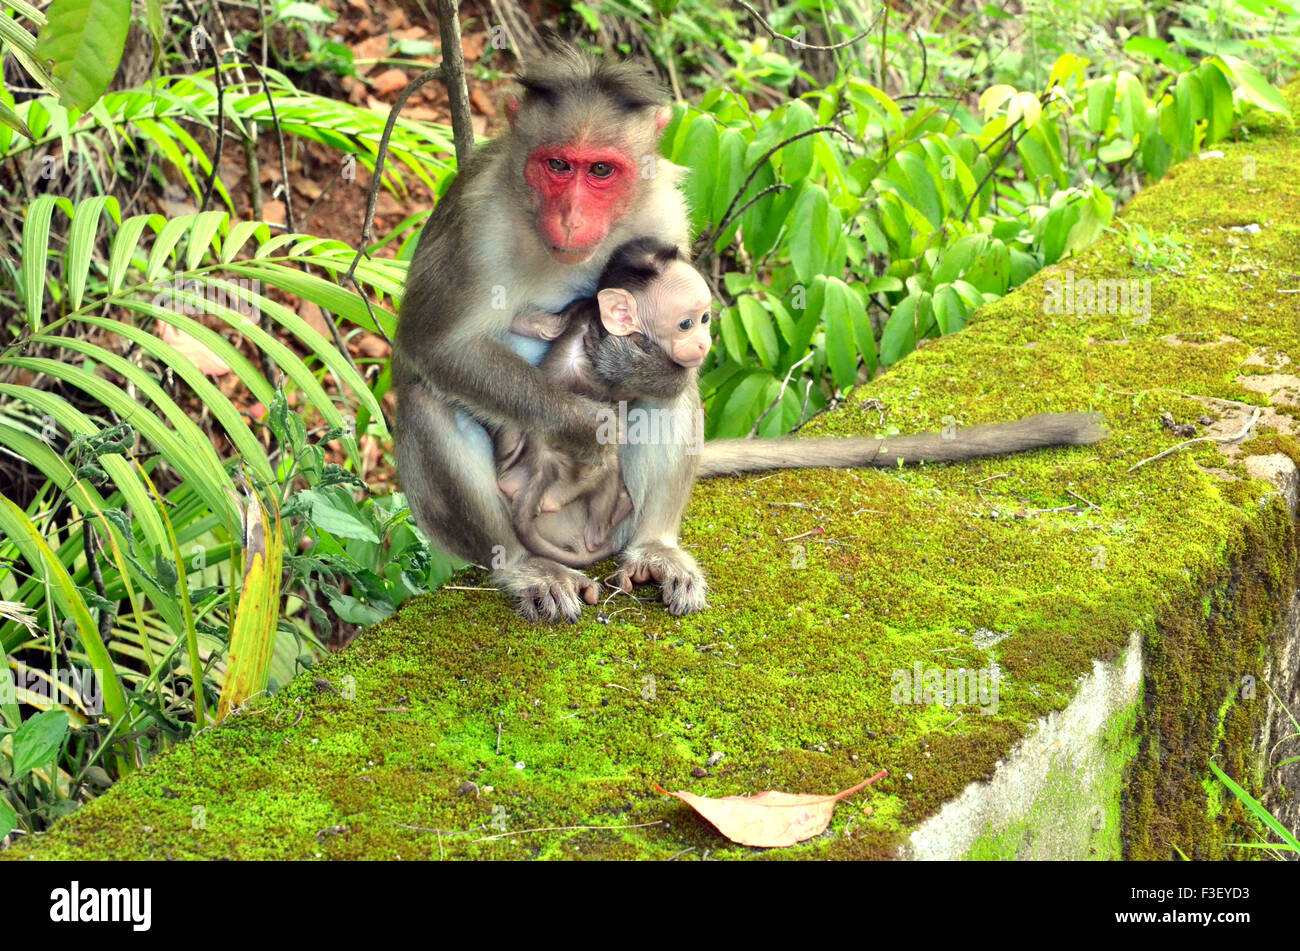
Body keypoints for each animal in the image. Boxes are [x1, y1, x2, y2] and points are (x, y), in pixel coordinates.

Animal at [495, 237, 713, 568]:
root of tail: (542, 461)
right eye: (686, 324)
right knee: (606, 470)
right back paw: (604, 522)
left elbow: (540, 326)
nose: (705, 343)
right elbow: (666, 381)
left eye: (706, 318)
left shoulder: (581, 306)